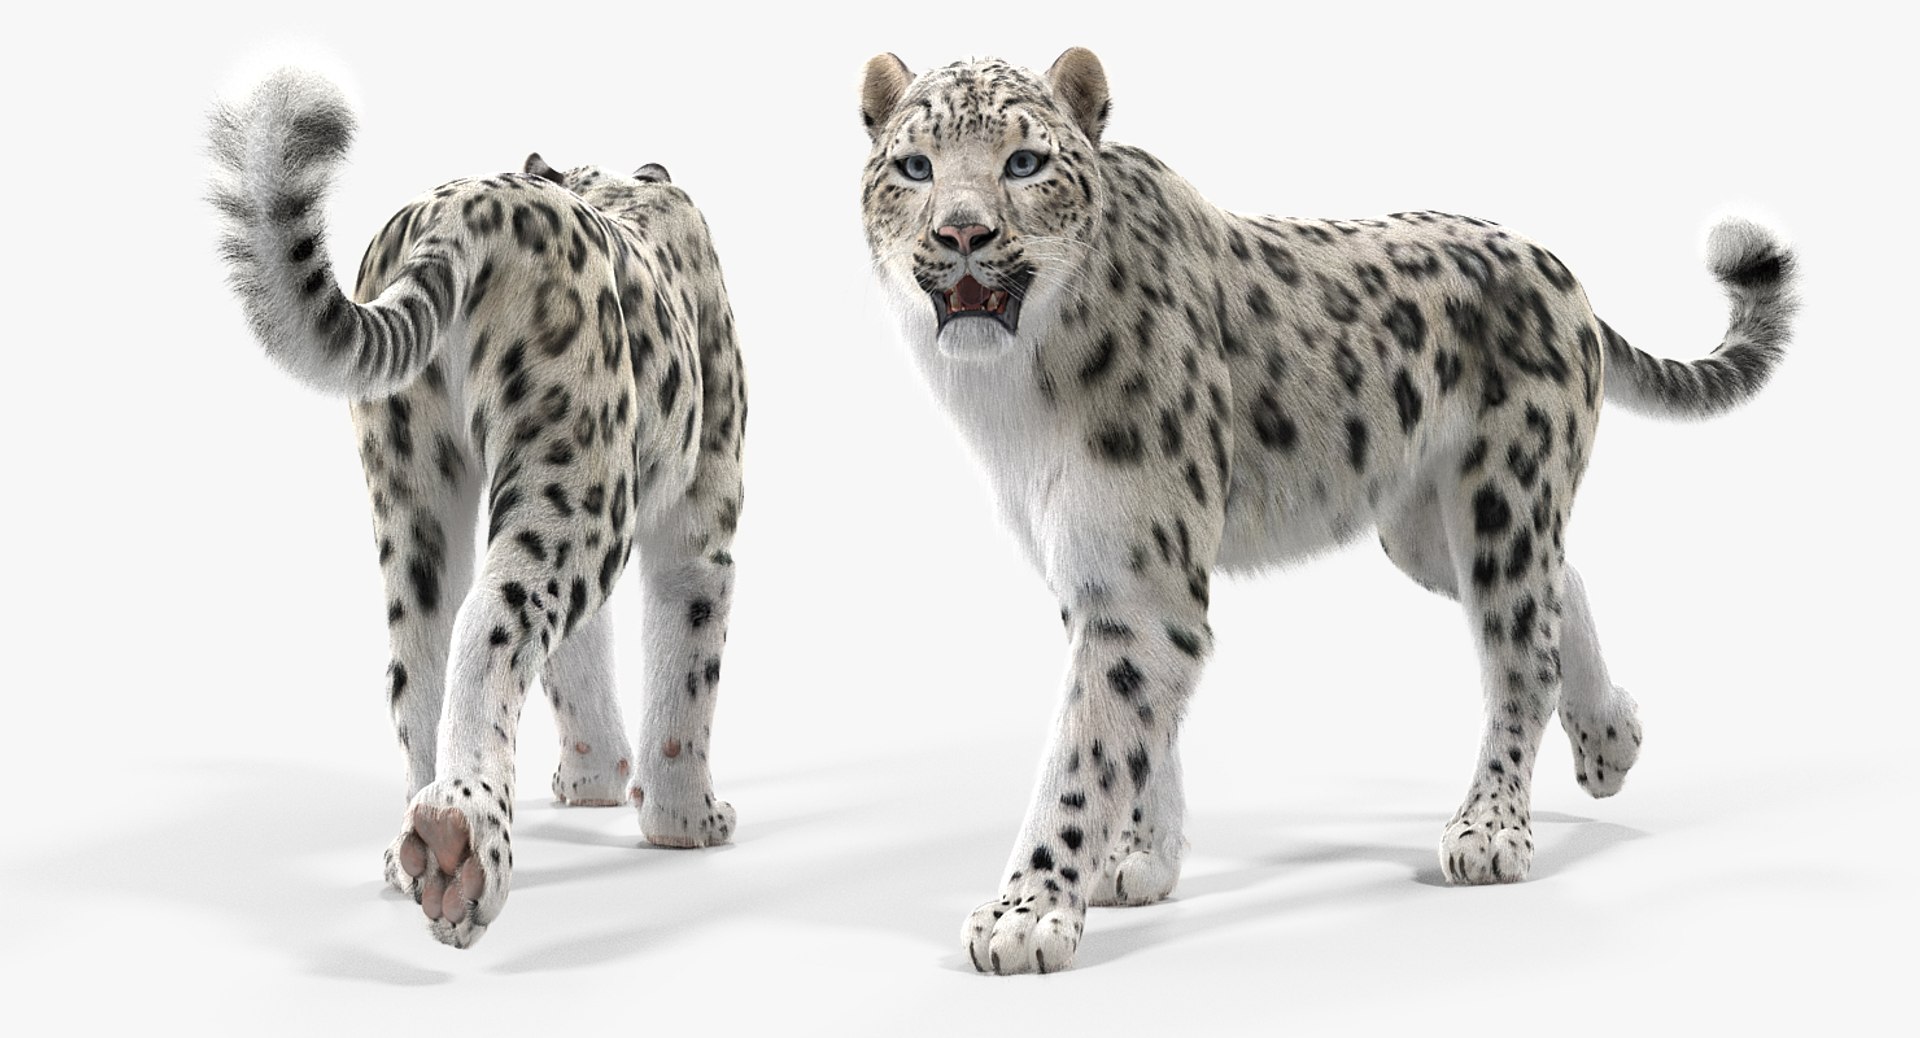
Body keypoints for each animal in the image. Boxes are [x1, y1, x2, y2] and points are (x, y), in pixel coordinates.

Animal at [209, 69, 747, 948]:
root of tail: (462, 210)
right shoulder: (701, 527)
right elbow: (686, 664)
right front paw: (685, 818)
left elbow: (579, 659)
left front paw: (594, 780)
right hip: (573, 479)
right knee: (495, 619)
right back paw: (462, 844)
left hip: (414, 490)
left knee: (419, 662)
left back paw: (417, 847)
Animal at [857, 48, 1798, 974]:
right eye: (915, 166)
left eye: (1025, 162)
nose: (962, 234)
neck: (1012, 395)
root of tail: (1555, 267)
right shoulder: (1095, 569)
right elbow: (1141, 730)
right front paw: (1142, 860)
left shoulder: (1137, 579)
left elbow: (1089, 747)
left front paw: (1028, 913)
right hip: (1426, 528)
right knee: (1559, 582)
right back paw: (1612, 739)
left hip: (1506, 488)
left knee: (1521, 653)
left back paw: (1491, 827)